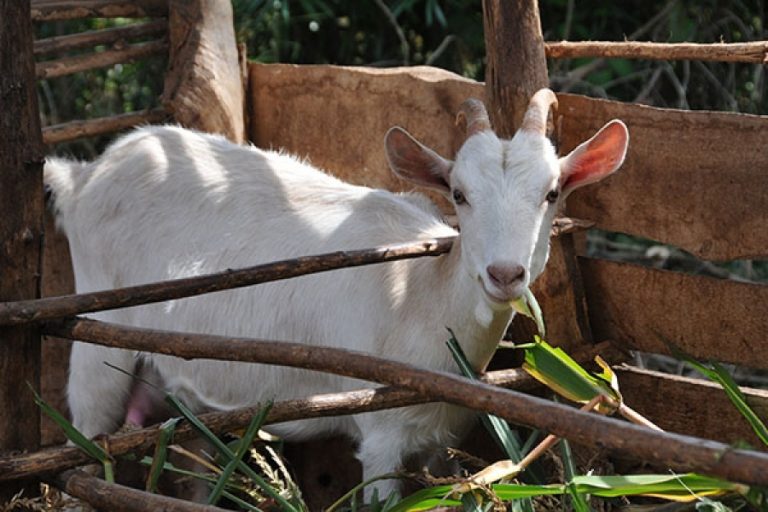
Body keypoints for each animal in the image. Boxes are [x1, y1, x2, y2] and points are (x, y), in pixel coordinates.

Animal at [45, 89, 628, 499]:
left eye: (551, 193)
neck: (420, 296)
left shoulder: (439, 437)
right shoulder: (382, 435)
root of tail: (84, 176)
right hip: (97, 337)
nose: (504, 273)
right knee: (84, 434)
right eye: (459, 195)